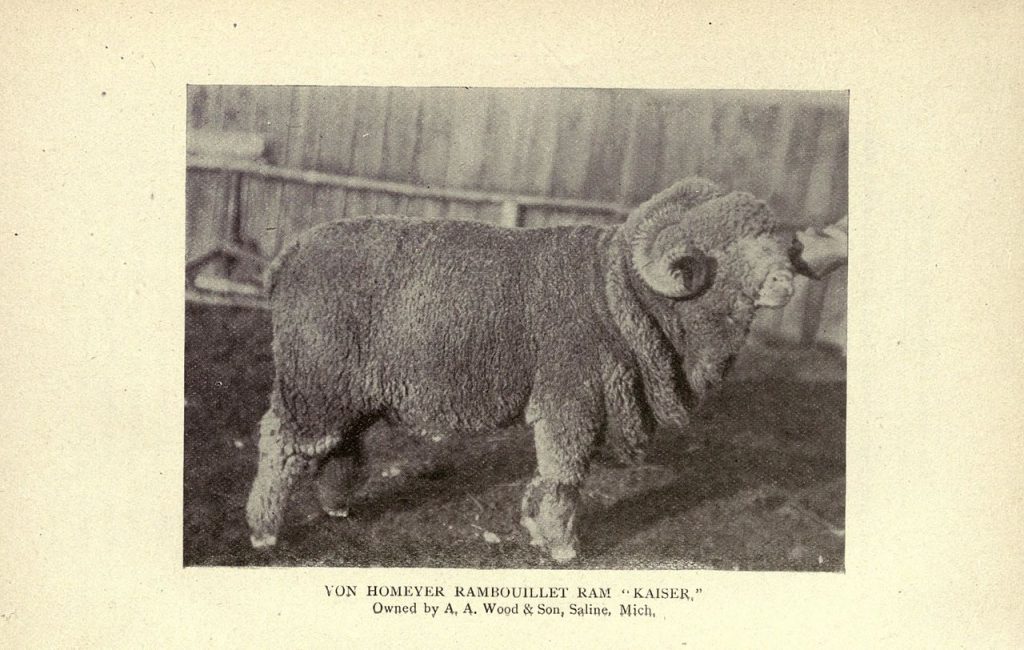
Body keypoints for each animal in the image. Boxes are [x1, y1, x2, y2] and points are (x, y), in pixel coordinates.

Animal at [245, 177, 796, 563]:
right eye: (720, 248)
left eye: (774, 241)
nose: (784, 284)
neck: (618, 292)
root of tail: (289, 255)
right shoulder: (570, 394)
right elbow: (565, 474)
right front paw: (562, 546)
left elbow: (552, 474)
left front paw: (534, 523)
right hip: (313, 376)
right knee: (280, 442)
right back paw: (263, 530)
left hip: (347, 387)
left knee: (341, 443)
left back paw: (336, 506)